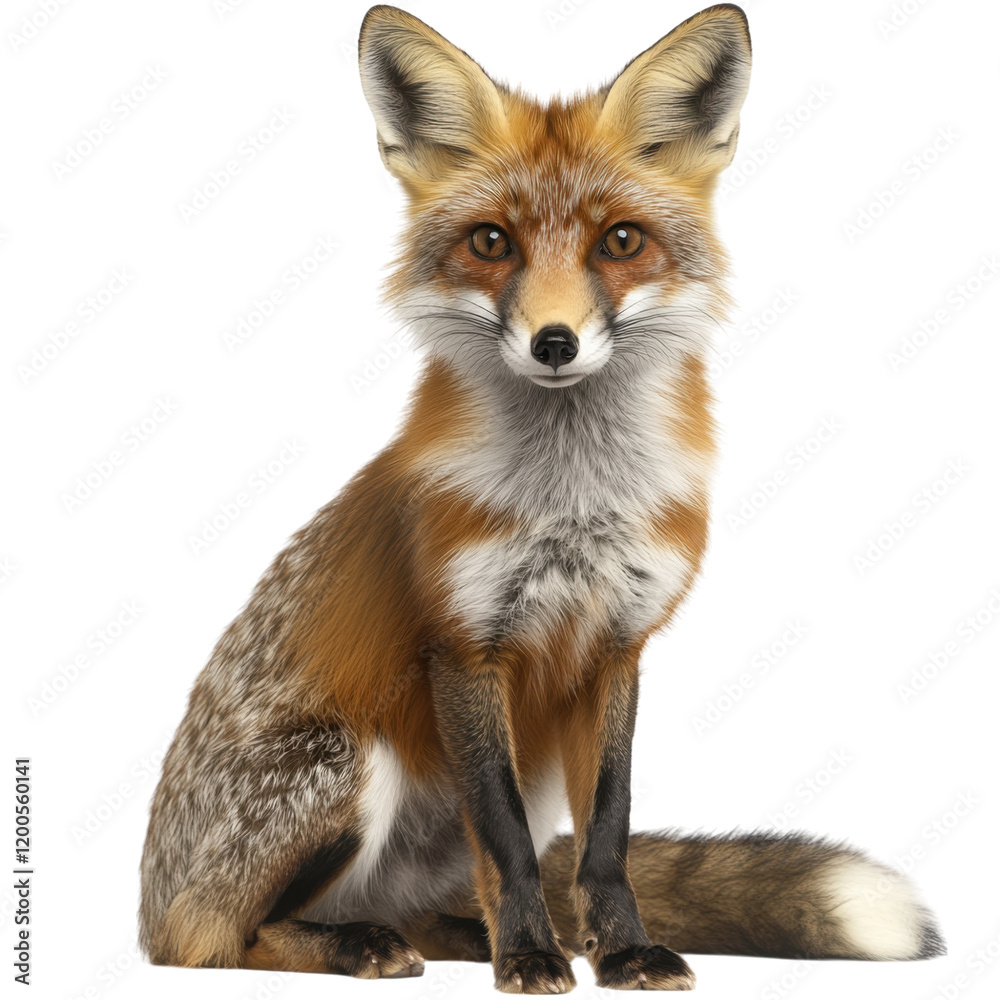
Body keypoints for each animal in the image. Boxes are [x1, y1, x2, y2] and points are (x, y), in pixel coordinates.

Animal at [139, 4, 944, 993]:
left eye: (620, 241)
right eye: (492, 242)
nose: (553, 342)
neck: (575, 507)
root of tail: (144, 901)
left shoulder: (619, 646)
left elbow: (607, 836)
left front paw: (620, 948)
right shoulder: (463, 646)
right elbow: (511, 844)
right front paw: (528, 956)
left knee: (432, 908)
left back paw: (461, 935)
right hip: (341, 767)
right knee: (216, 938)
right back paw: (361, 945)